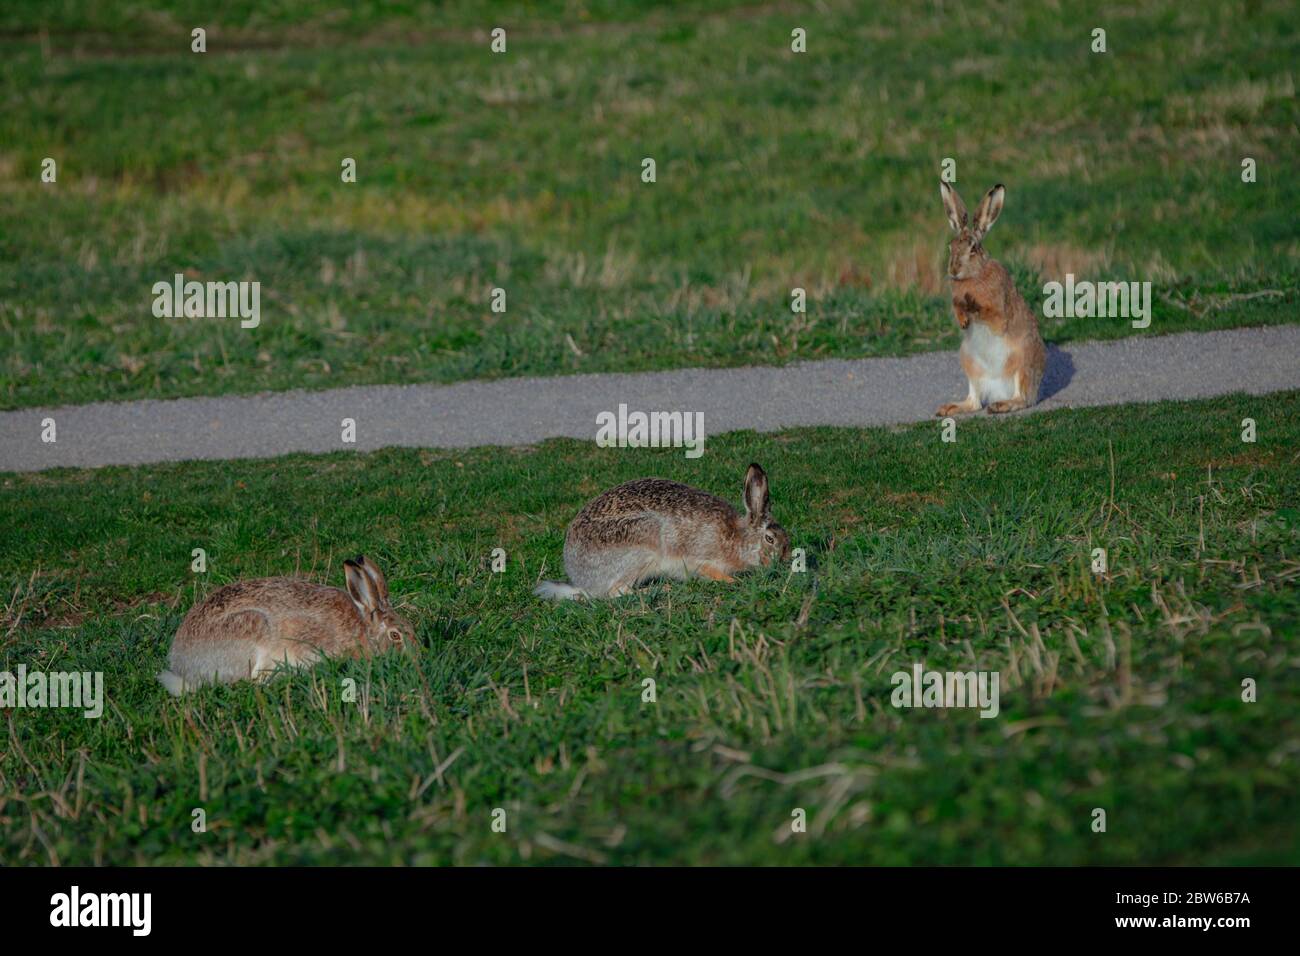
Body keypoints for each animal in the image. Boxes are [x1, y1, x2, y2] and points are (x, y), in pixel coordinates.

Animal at [534, 462, 791, 600]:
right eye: (770, 539)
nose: (785, 560)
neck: (737, 538)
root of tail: (581, 579)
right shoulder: (699, 557)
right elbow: (711, 571)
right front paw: (732, 582)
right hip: (642, 543)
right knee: (616, 592)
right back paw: (659, 590)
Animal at [936, 182, 1047, 416]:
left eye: (973, 249)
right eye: (951, 246)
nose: (953, 271)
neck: (974, 276)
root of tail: (998, 390)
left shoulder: (999, 311)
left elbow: (993, 316)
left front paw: (973, 306)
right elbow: (958, 308)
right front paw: (964, 319)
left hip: (1023, 360)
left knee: (1022, 398)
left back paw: (1002, 405)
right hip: (969, 362)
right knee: (975, 402)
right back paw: (950, 408)